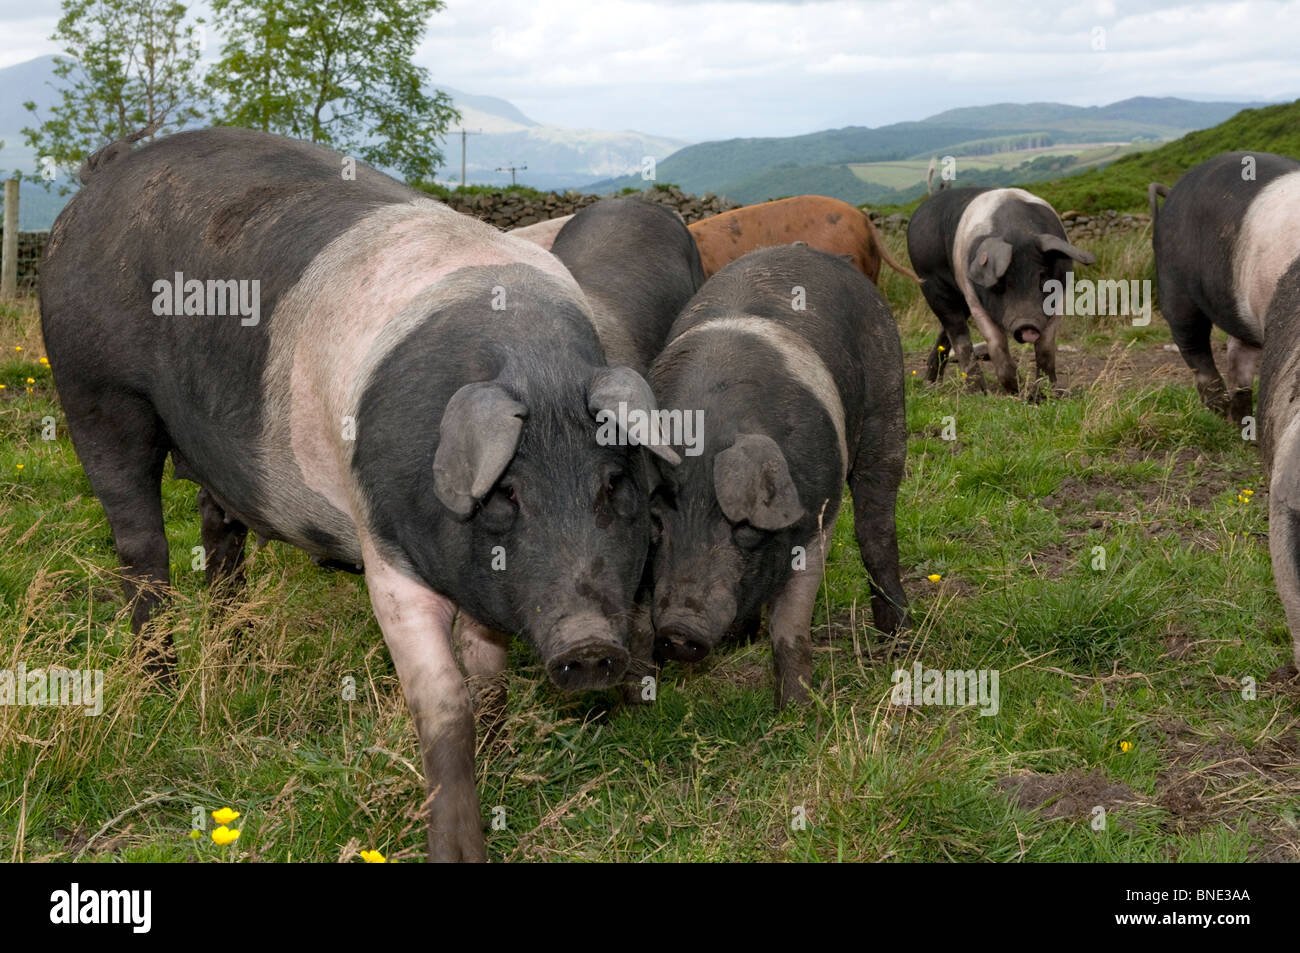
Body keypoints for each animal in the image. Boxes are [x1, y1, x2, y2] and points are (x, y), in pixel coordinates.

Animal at [40, 126, 677, 862]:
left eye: (615, 484)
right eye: (507, 493)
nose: (590, 644)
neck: (534, 364)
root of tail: (102, 176)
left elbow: (487, 671)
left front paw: (502, 753)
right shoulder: (385, 550)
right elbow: (445, 702)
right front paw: (456, 847)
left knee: (218, 527)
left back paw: (237, 651)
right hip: (94, 389)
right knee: (140, 542)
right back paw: (162, 690)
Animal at [646, 244, 909, 707]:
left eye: (745, 528)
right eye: (658, 522)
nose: (679, 629)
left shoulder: (818, 515)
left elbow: (790, 621)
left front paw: (798, 710)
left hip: (888, 401)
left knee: (877, 530)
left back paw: (898, 638)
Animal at [907, 187, 1095, 395]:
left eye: (1043, 275)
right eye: (1001, 281)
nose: (1027, 325)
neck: (1019, 230)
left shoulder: (1061, 294)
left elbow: (1046, 346)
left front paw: (1047, 392)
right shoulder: (972, 294)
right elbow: (996, 341)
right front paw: (1016, 389)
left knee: (946, 333)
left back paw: (931, 383)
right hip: (930, 281)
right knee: (956, 330)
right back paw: (972, 391)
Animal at [1150, 151, 1300, 424]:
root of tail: (1173, 190)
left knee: (1238, 356)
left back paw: (1238, 421)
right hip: (1172, 279)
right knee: (1192, 342)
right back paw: (1219, 410)